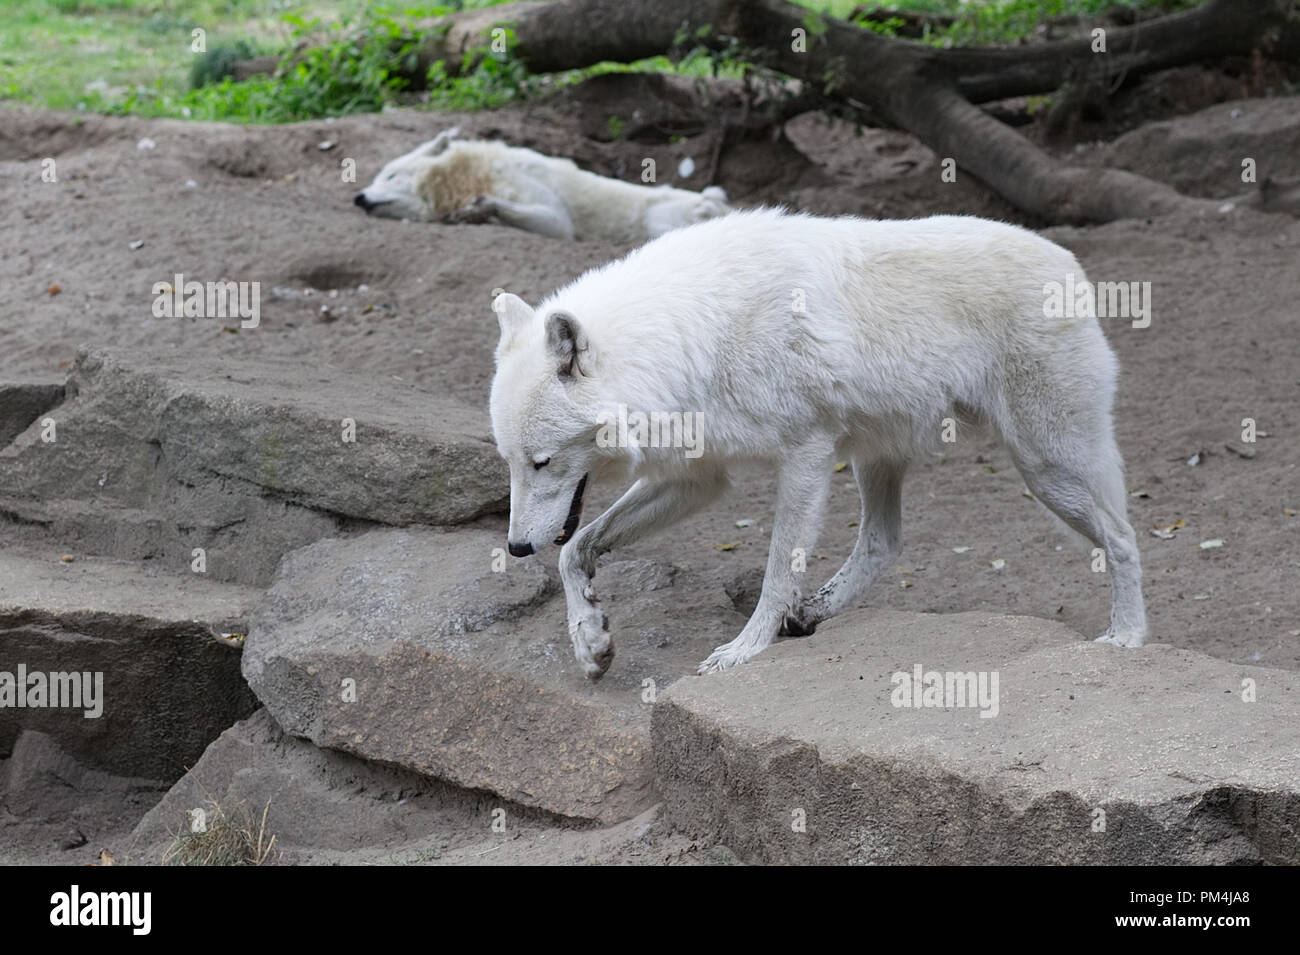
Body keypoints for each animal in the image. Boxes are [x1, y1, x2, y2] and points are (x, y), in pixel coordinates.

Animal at [354, 128, 731, 242]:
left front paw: (476, 210)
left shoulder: (558, 220)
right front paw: (470, 214)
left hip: (658, 221)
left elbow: (495, 203)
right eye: (377, 176)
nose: (358, 197)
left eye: (390, 175)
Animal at [489, 208, 1148, 678]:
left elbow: (778, 568)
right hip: (876, 458)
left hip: (1046, 466)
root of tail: (1069, 261)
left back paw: (1127, 637)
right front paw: (590, 642)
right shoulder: (699, 478)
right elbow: (576, 553)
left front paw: (743, 650)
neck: (691, 336)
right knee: (884, 540)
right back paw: (817, 610)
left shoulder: (804, 453)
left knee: (1122, 536)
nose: (516, 548)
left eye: (542, 462)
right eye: (512, 464)